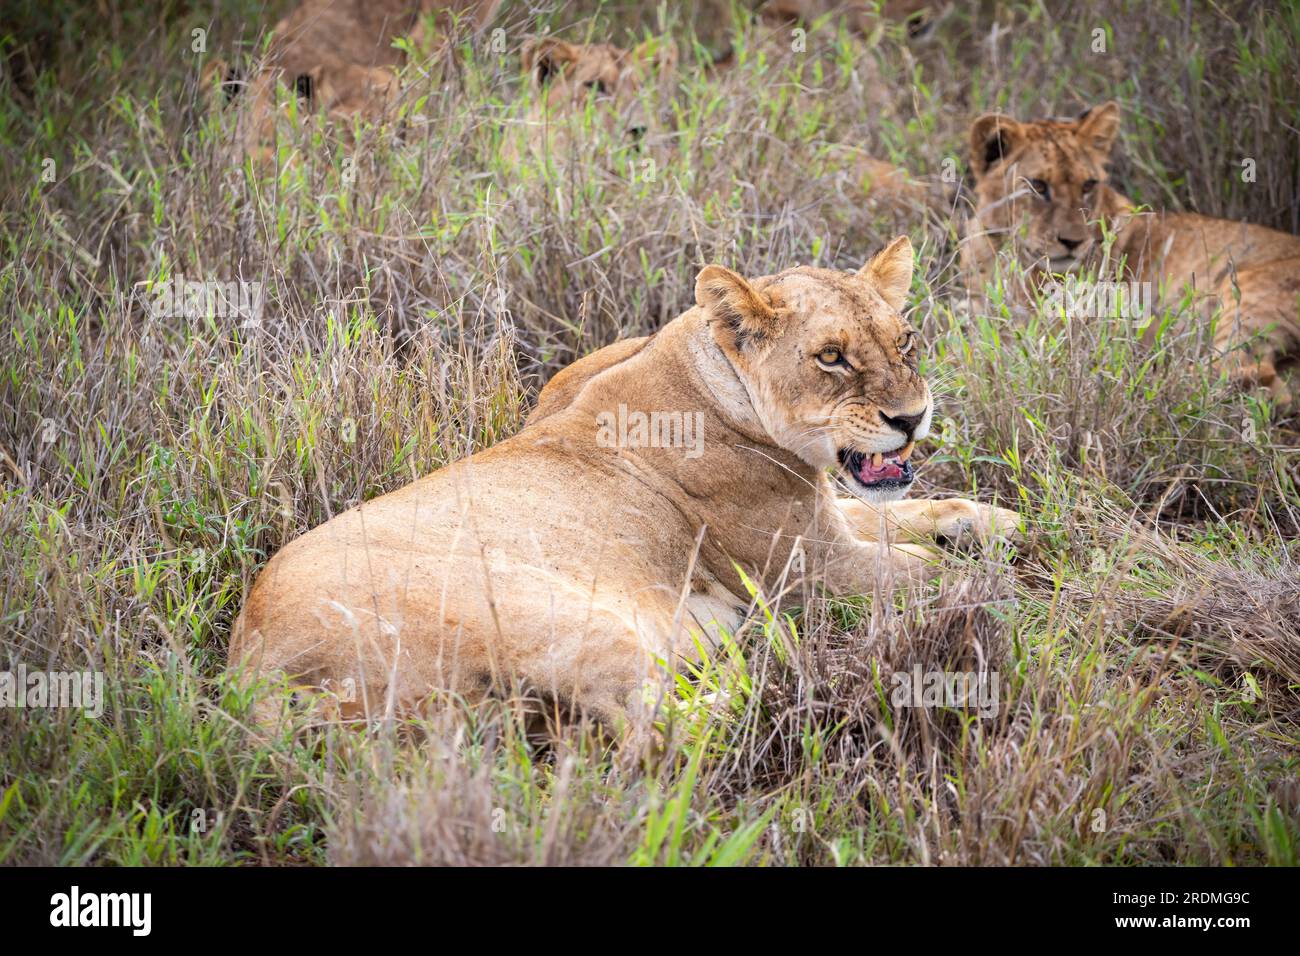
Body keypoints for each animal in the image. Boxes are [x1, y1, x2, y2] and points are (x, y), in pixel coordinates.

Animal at [229, 236, 1020, 732]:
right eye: (831, 357)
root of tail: (256, 671)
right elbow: (939, 575)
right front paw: (1006, 578)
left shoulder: (828, 517)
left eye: (905, 341)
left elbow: (920, 510)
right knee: (670, 724)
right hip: (564, 617)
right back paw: (761, 671)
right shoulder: (816, 570)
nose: (912, 418)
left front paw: (999, 521)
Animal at [962, 101, 1300, 405]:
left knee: (1241, 372)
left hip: (1244, 293)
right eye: (1038, 185)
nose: (1073, 242)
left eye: (1088, 185)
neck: (1002, 255)